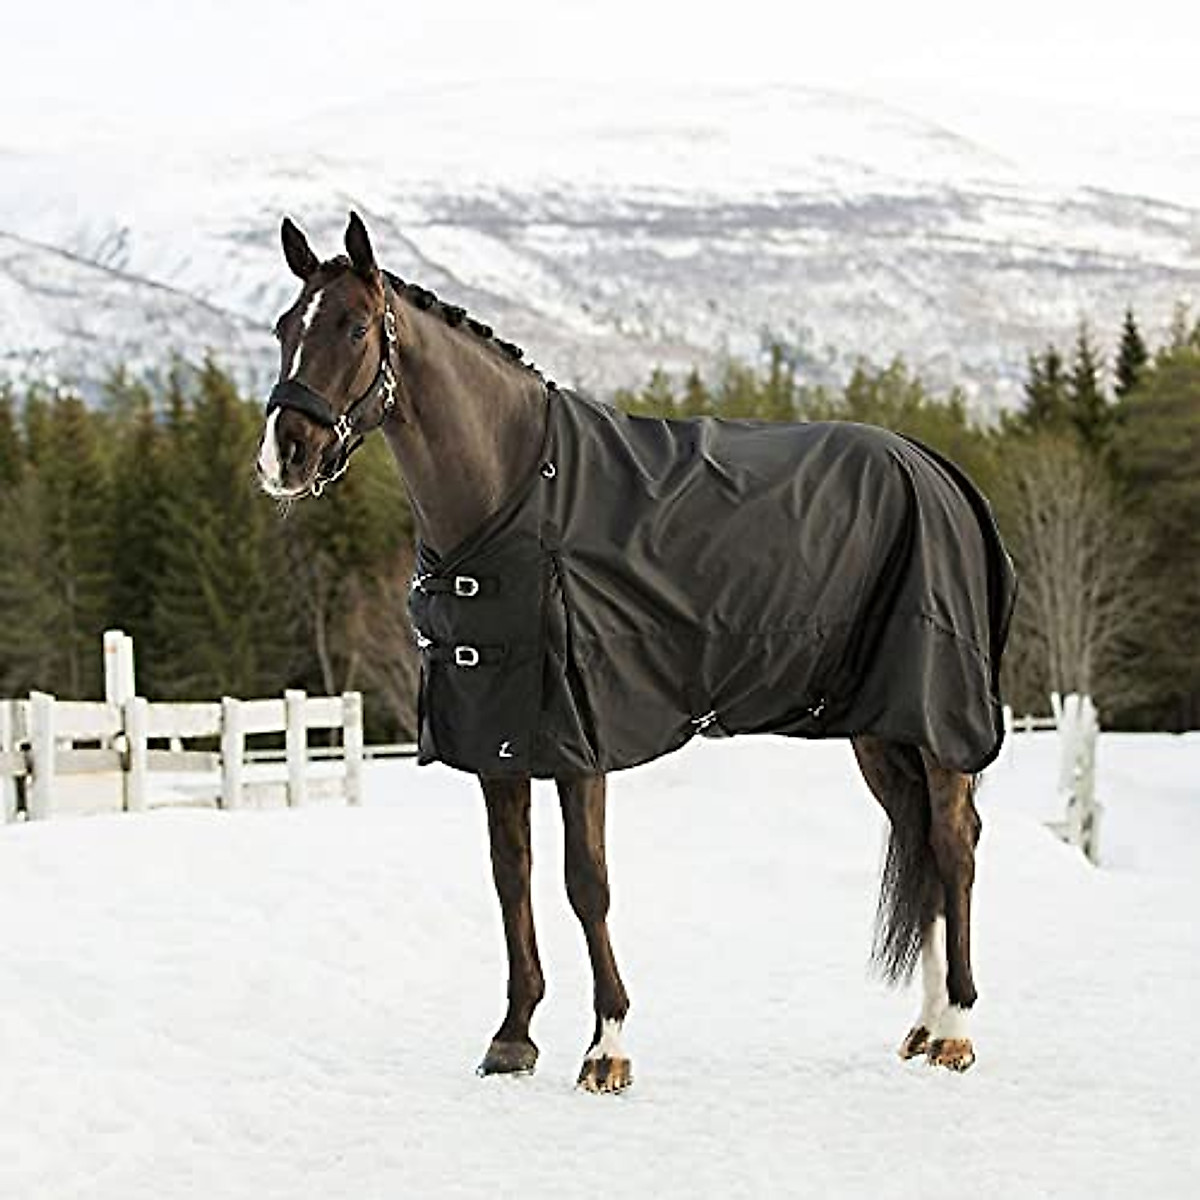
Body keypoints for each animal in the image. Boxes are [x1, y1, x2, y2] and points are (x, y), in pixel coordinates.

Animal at [256, 211, 1016, 1093]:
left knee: (954, 845)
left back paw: (957, 1030)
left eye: (351, 326)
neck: (518, 491)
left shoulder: (578, 737)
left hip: (936, 718)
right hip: (882, 725)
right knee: (920, 839)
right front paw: (513, 1038)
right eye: (285, 328)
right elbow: (510, 877)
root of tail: (940, 470)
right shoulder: (496, 738)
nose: (283, 455)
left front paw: (606, 1046)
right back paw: (924, 1026)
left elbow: (586, 883)